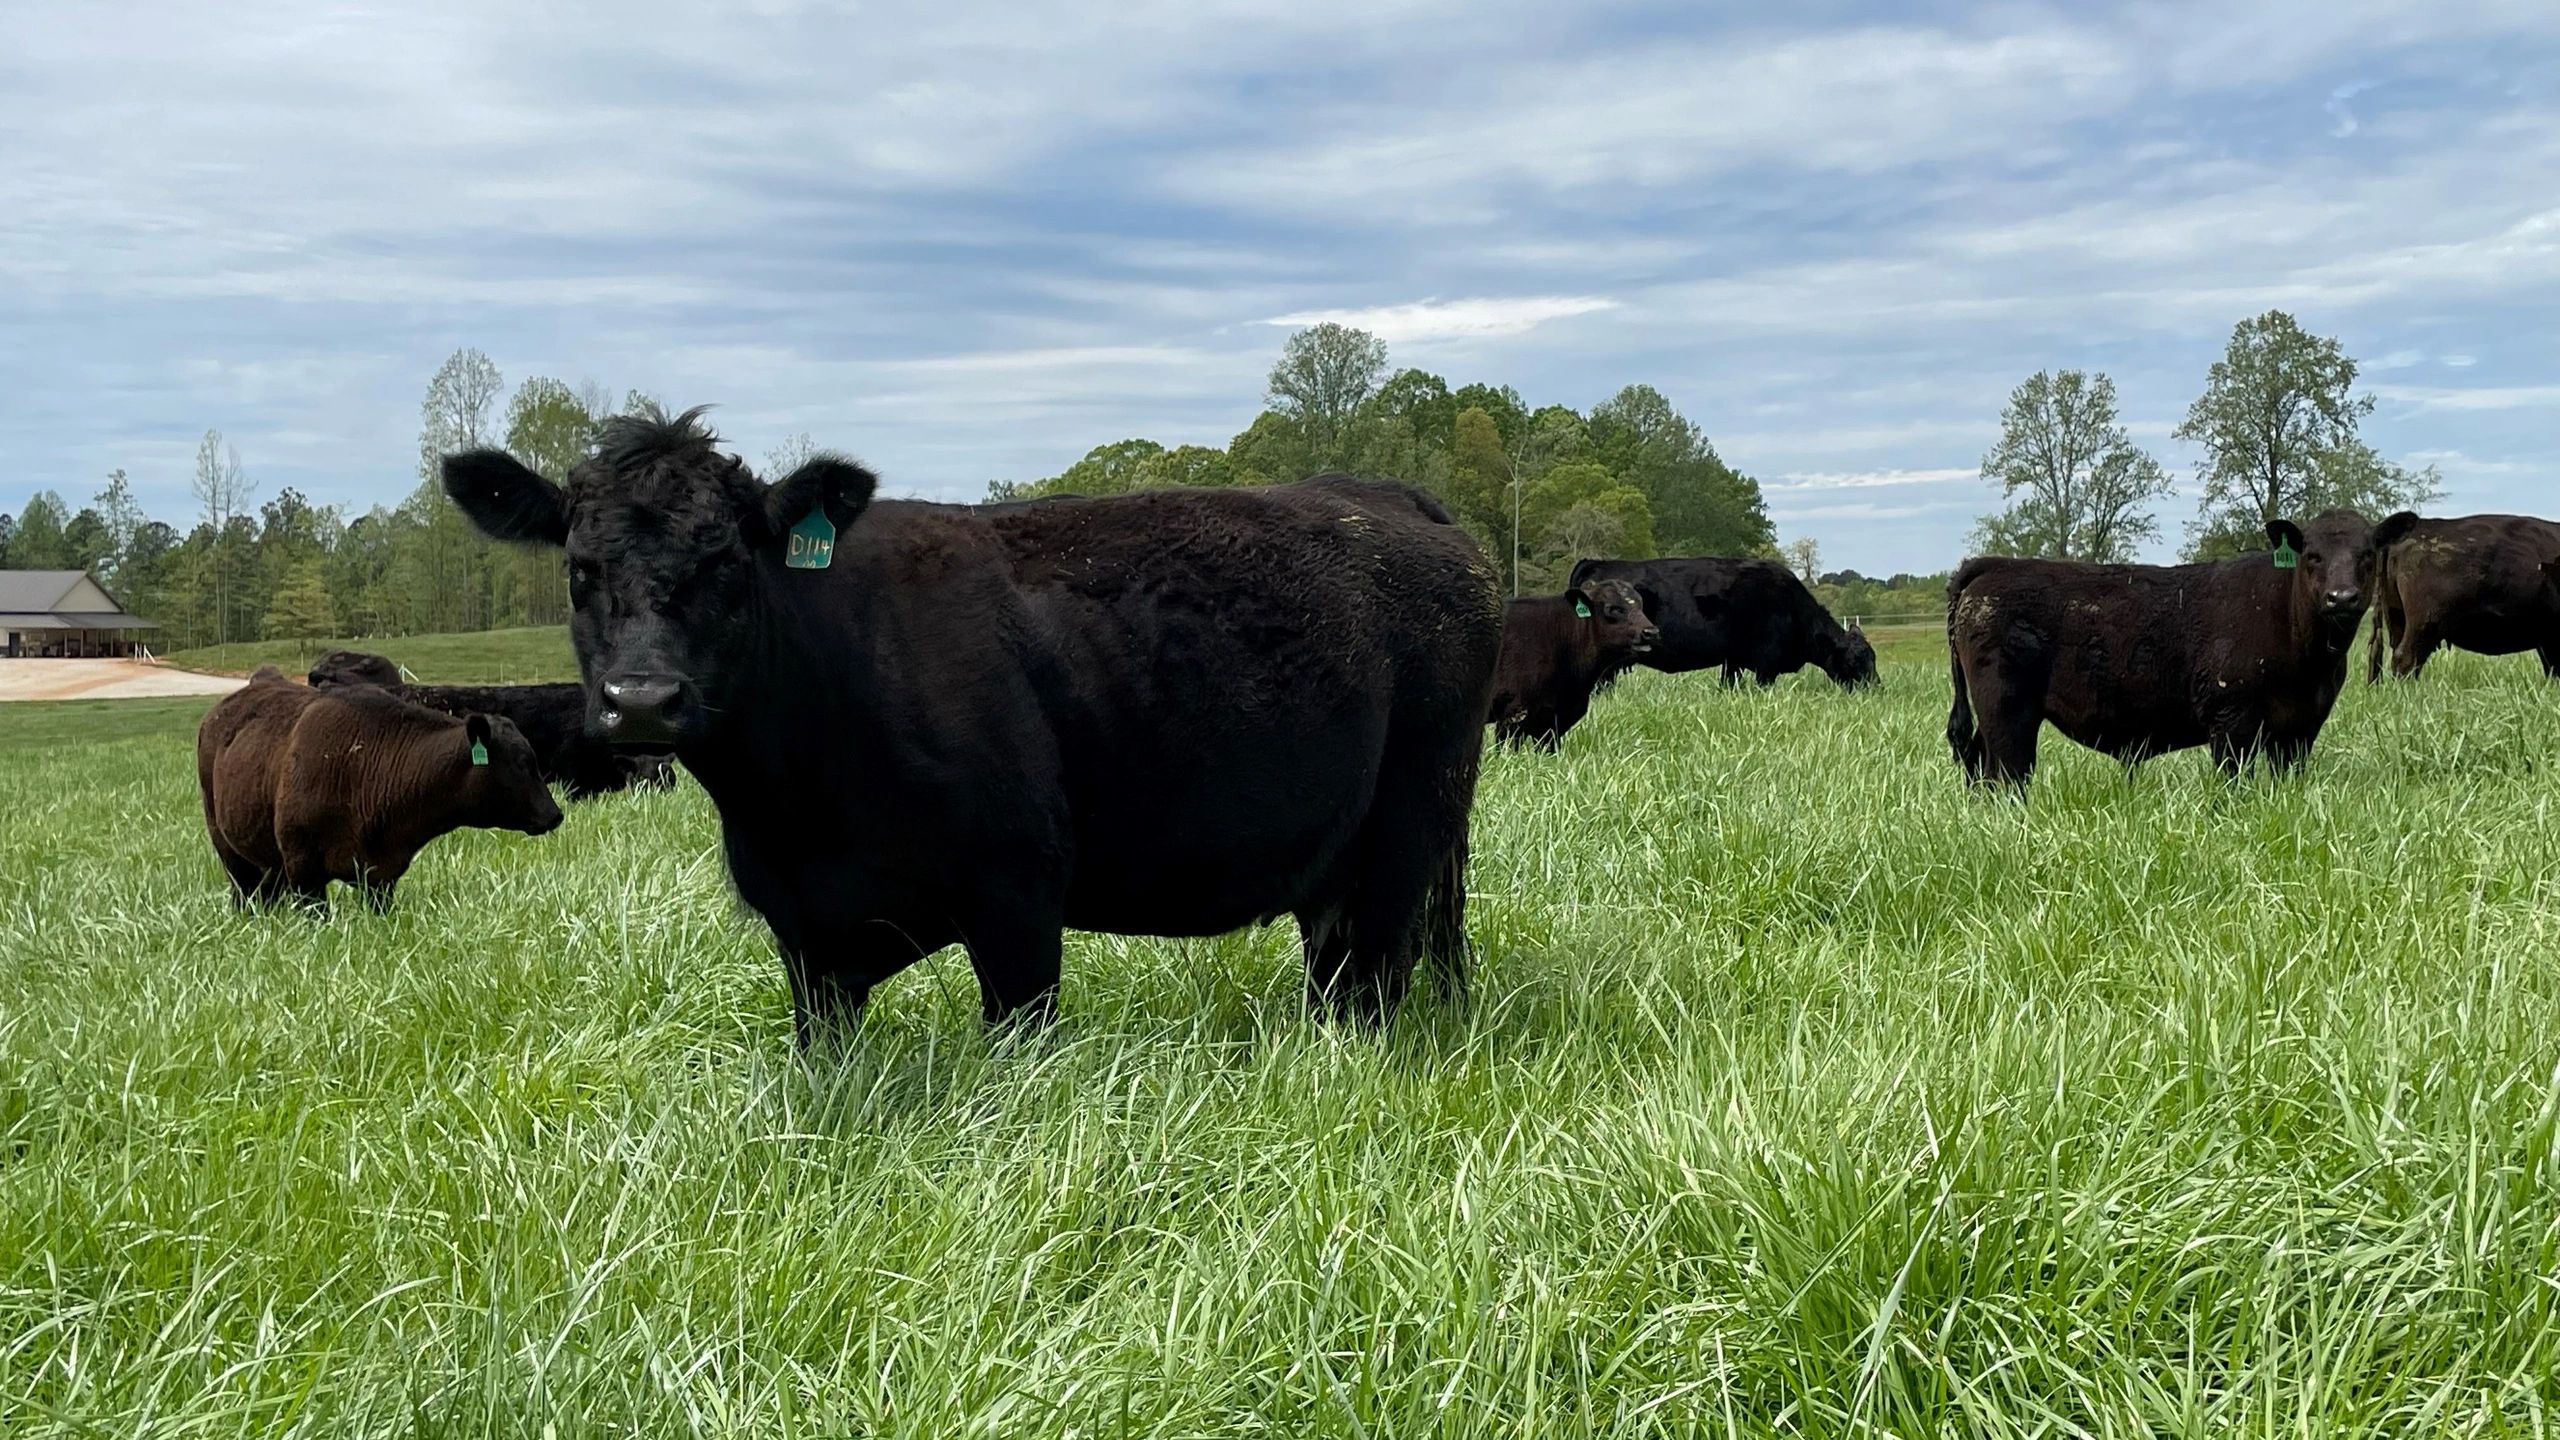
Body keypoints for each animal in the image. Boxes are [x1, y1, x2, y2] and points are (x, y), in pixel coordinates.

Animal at [440, 407, 1504, 1042]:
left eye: (729, 563)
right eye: (579, 571)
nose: (643, 700)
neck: (791, 811)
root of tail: (1380, 497)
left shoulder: (1019, 897)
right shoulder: (803, 940)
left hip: (1413, 817)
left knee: (1381, 972)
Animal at [1566, 556, 1877, 690]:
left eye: (1873, 657)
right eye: (1857, 659)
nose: (1877, 690)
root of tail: (1598, 561)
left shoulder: (1733, 660)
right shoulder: (1766, 663)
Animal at [1944, 511, 2381, 788]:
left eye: (2367, 555)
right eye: (2312, 556)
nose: (2341, 597)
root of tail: (1997, 565)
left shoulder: (2301, 729)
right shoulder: (2232, 722)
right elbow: (2233, 785)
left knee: (1978, 765)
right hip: (2007, 711)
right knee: (2006, 774)